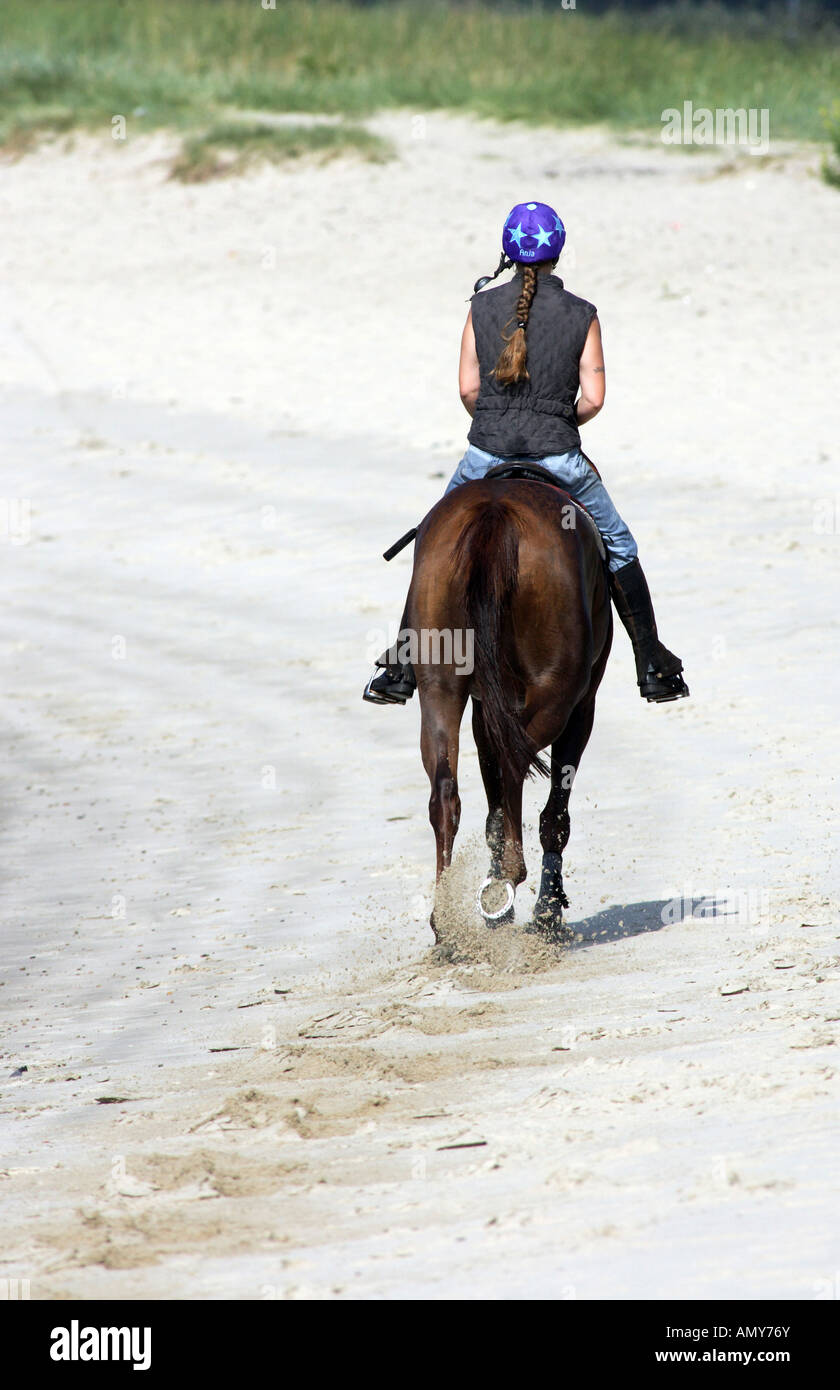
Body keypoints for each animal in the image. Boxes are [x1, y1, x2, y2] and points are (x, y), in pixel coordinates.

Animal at [402, 470, 612, 938]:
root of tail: (494, 513)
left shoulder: (486, 706)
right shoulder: (582, 706)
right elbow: (554, 816)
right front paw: (546, 911)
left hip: (440, 683)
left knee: (446, 790)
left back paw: (447, 925)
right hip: (558, 692)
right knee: (514, 763)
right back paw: (510, 882)